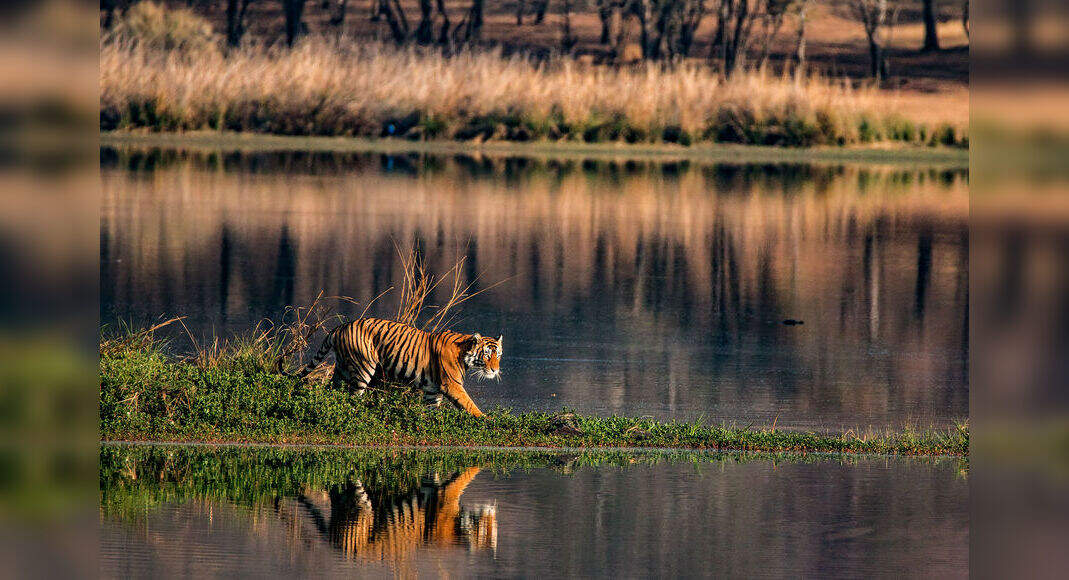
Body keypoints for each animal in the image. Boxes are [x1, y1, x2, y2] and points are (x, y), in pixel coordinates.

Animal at [293, 318, 502, 418]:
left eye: (498, 356)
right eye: (487, 355)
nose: (495, 370)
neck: (465, 354)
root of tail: (340, 327)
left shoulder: (433, 392)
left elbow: (430, 412)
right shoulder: (452, 385)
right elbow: (470, 405)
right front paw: (486, 419)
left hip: (342, 369)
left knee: (332, 391)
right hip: (363, 368)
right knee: (353, 397)